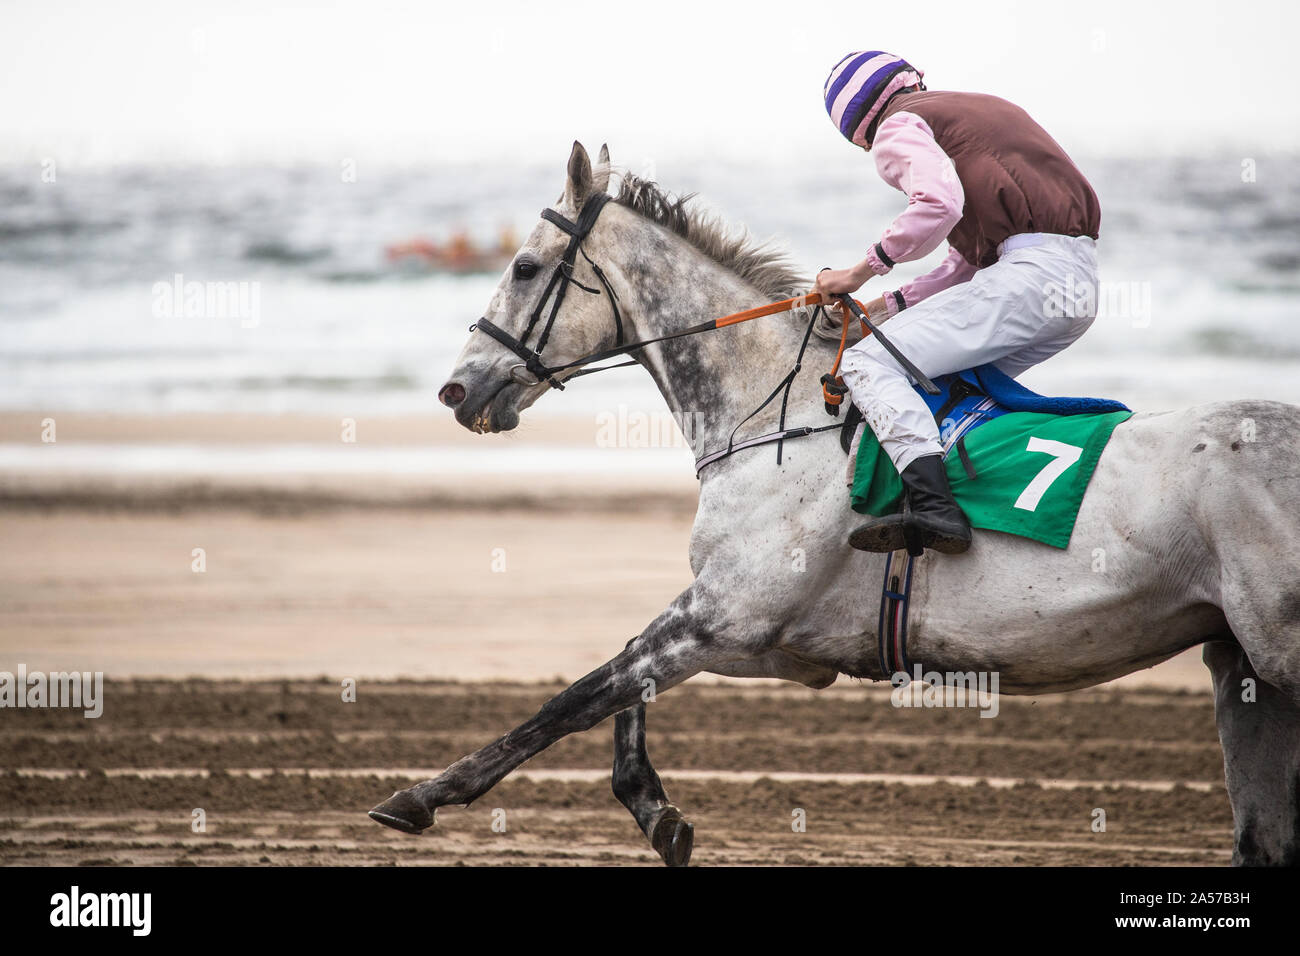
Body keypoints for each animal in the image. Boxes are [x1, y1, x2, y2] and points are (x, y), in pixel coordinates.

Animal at [370, 141, 1300, 867]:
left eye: (524, 266)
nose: (458, 389)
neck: (776, 419)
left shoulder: (727, 616)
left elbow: (580, 693)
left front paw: (426, 793)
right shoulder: (773, 642)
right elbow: (626, 675)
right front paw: (658, 812)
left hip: (1278, 649)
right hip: (1242, 668)